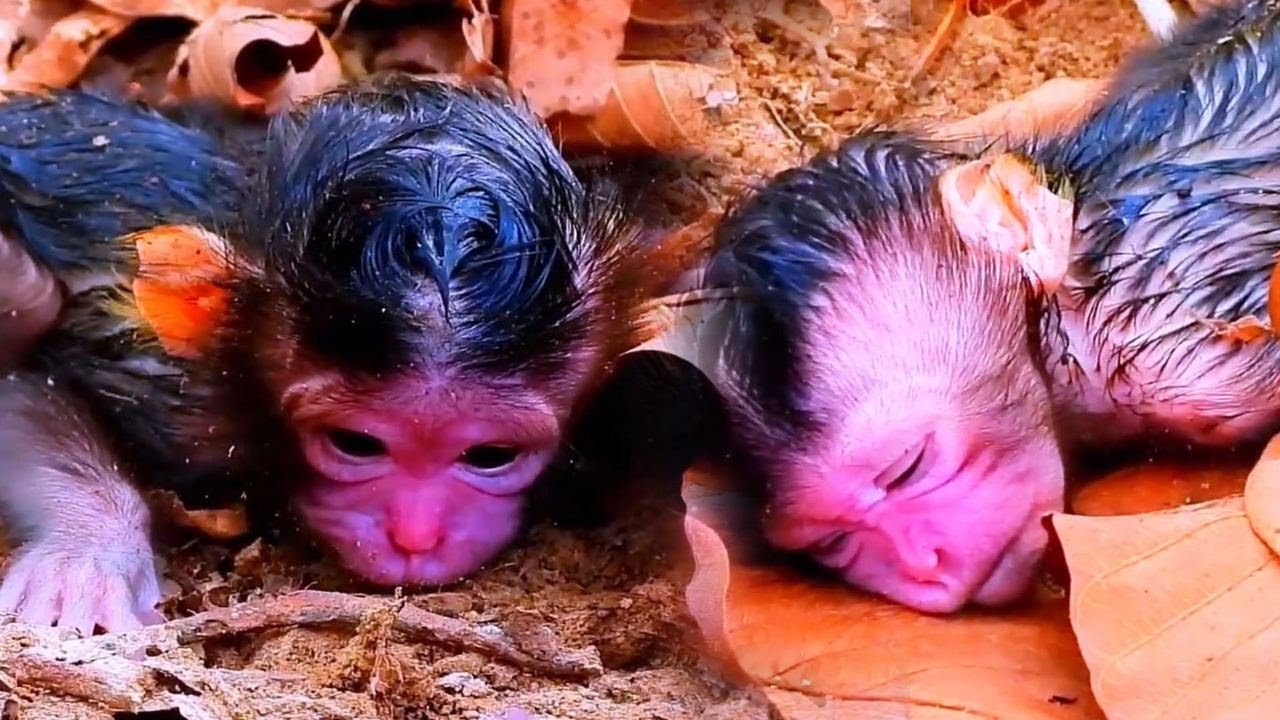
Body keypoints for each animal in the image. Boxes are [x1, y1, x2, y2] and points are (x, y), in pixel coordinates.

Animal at [0, 74, 658, 634]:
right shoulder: (182, 399)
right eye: (355, 444)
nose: (415, 538)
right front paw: (89, 550)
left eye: (491, 456)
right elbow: (27, 390)